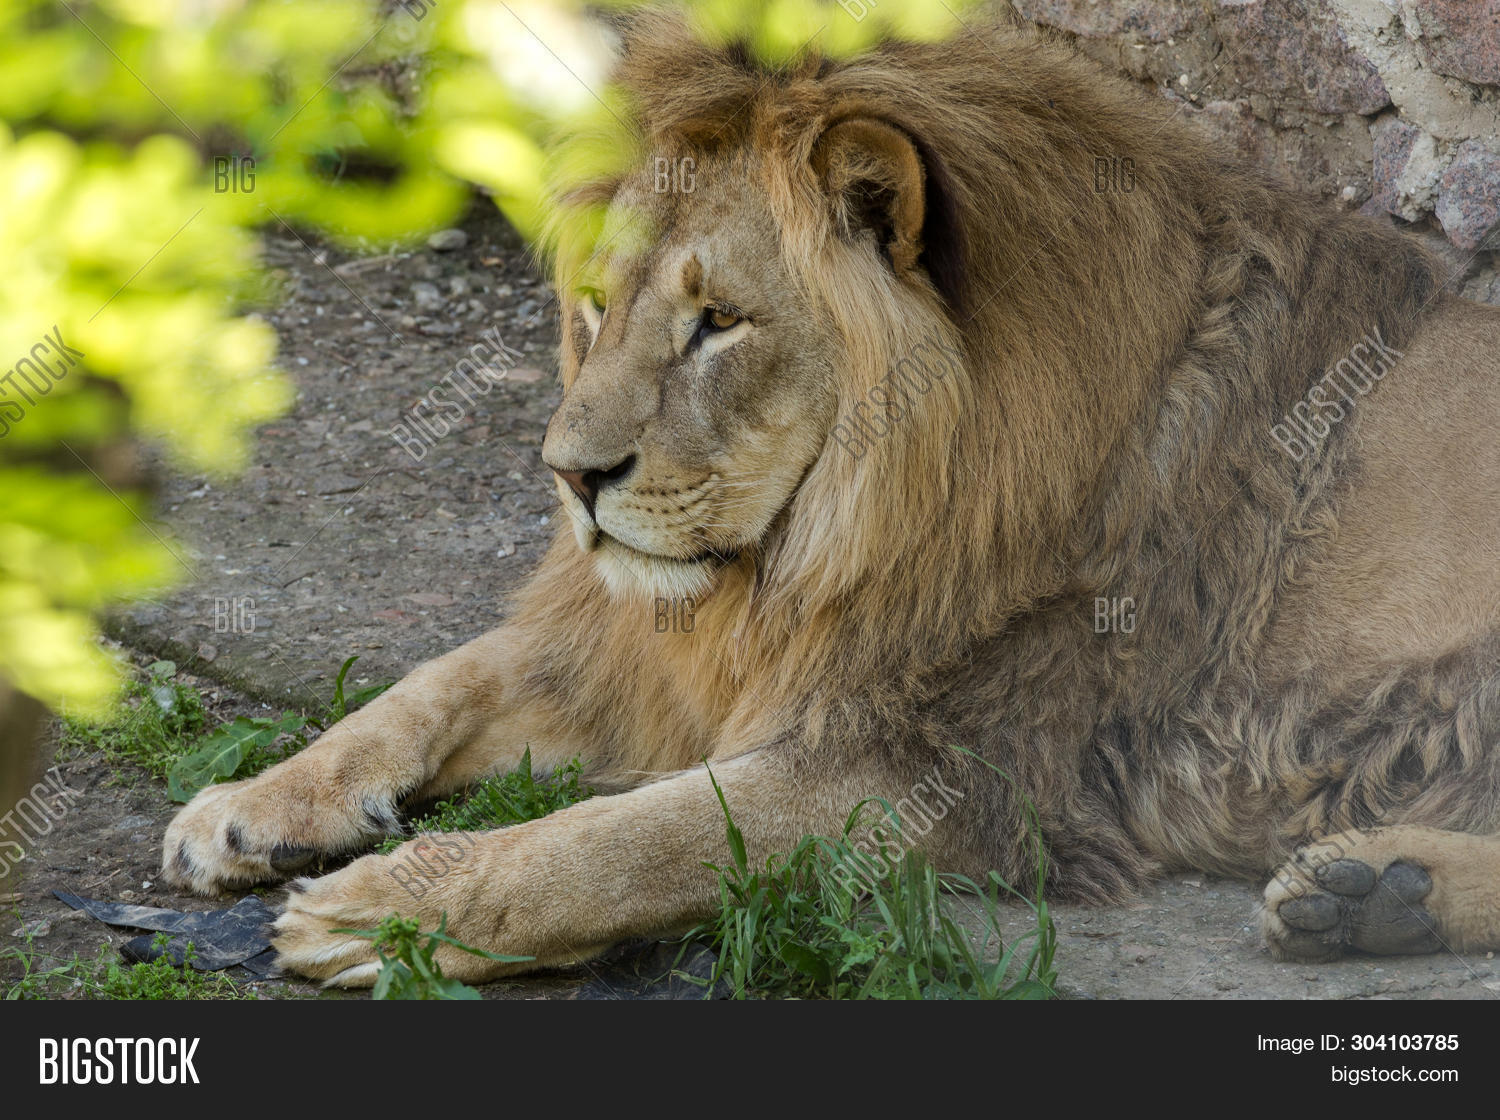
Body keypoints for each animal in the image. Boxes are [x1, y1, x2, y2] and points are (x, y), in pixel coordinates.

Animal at [161, 12, 1500, 986]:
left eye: (718, 321)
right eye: (595, 304)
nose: (570, 476)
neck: (817, 548)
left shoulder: (945, 756)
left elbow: (624, 840)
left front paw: (390, 910)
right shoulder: (655, 647)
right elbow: (437, 681)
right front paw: (250, 807)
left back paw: (1374, 894)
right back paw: (1372, 898)